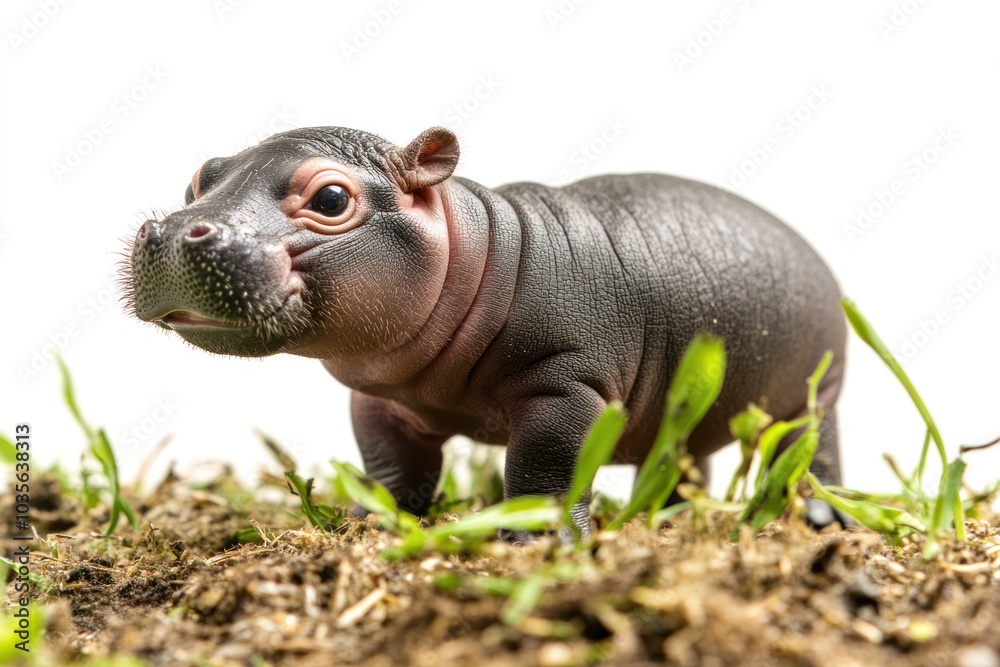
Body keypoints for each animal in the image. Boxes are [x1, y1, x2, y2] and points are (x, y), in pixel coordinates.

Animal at [126, 126, 847, 535]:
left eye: (331, 198)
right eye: (200, 178)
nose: (169, 231)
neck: (477, 248)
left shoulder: (565, 385)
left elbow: (545, 466)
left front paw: (532, 537)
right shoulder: (379, 398)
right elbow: (390, 462)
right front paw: (369, 520)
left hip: (815, 395)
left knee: (812, 449)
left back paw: (822, 516)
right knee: (681, 455)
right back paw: (664, 514)